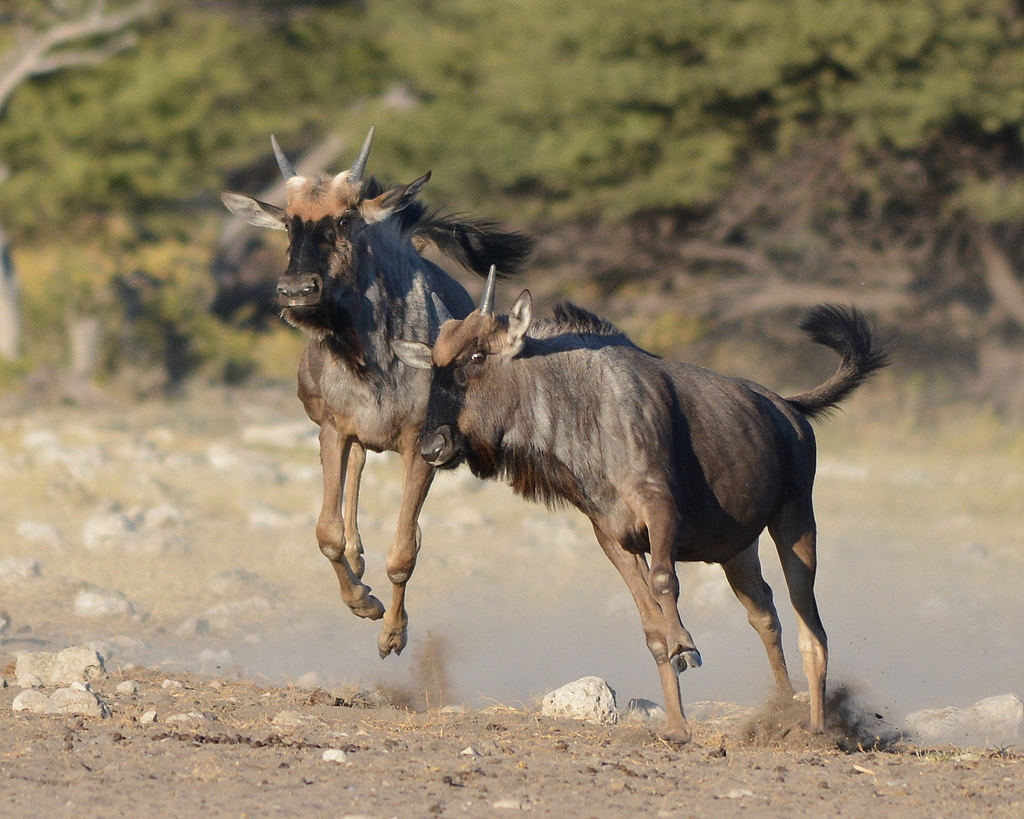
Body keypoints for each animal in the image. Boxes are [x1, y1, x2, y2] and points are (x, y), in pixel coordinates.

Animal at [221, 130, 531, 658]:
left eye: (346, 220)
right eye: (288, 224)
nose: (297, 291)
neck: (372, 362)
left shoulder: (417, 445)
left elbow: (403, 552)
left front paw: (392, 633)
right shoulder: (331, 430)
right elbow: (325, 531)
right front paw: (363, 602)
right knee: (359, 466)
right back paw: (358, 557)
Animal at [394, 270, 888, 742]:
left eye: (477, 356)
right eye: (433, 367)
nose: (433, 447)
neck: (583, 405)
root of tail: (788, 407)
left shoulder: (660, 510)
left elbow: (665, 583)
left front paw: (686, 645)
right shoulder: (613, 536)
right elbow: (651, 629)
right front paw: (677, 726)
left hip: (796, 523)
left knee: (811, 628)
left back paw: (817, 729)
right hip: (738, 552)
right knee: (766, 616)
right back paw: (782, 712)